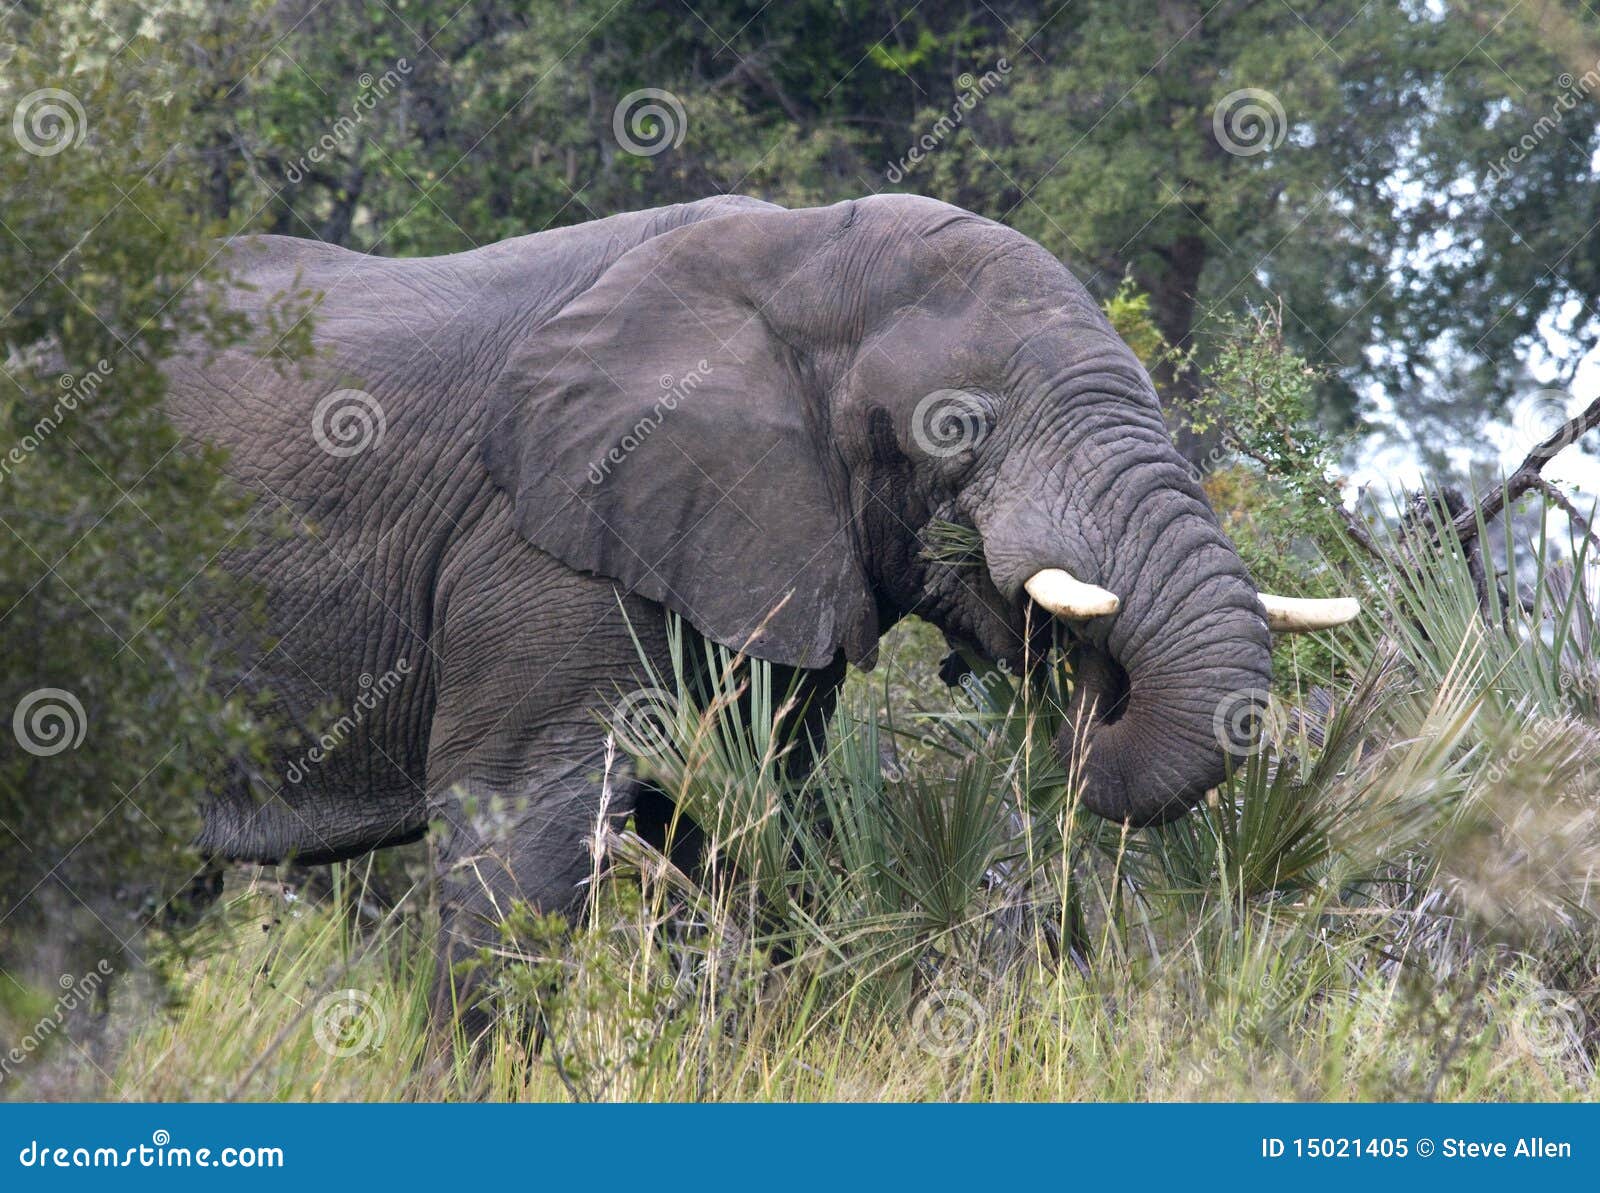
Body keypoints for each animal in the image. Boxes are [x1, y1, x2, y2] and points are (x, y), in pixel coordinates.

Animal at [163, 192, 1356, 1014]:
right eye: (957, 427)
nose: (1079, 679)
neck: (802, 251)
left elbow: (736, 828)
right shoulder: (544, 544)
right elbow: (518, 844)